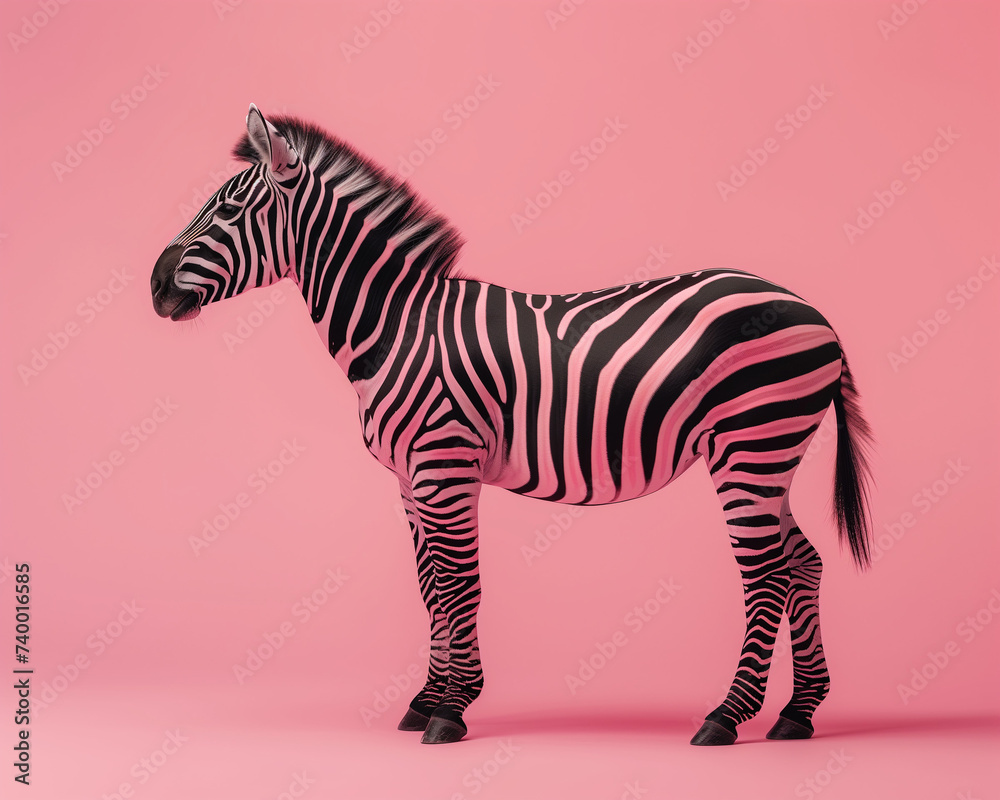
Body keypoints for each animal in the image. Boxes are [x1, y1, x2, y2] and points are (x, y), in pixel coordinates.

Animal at [151, 105, 874, 746]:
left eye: (228, 211)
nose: (155, 285)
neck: (399, 326)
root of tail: (813, 311)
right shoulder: (410, 479)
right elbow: (429, 587)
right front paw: (427, 699)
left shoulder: (444, 464)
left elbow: (457, 583)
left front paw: (451, 710)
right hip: (769, 454)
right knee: (802, 561)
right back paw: (798, 713)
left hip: (750, 444)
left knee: (768, 573)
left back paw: (725, 717)